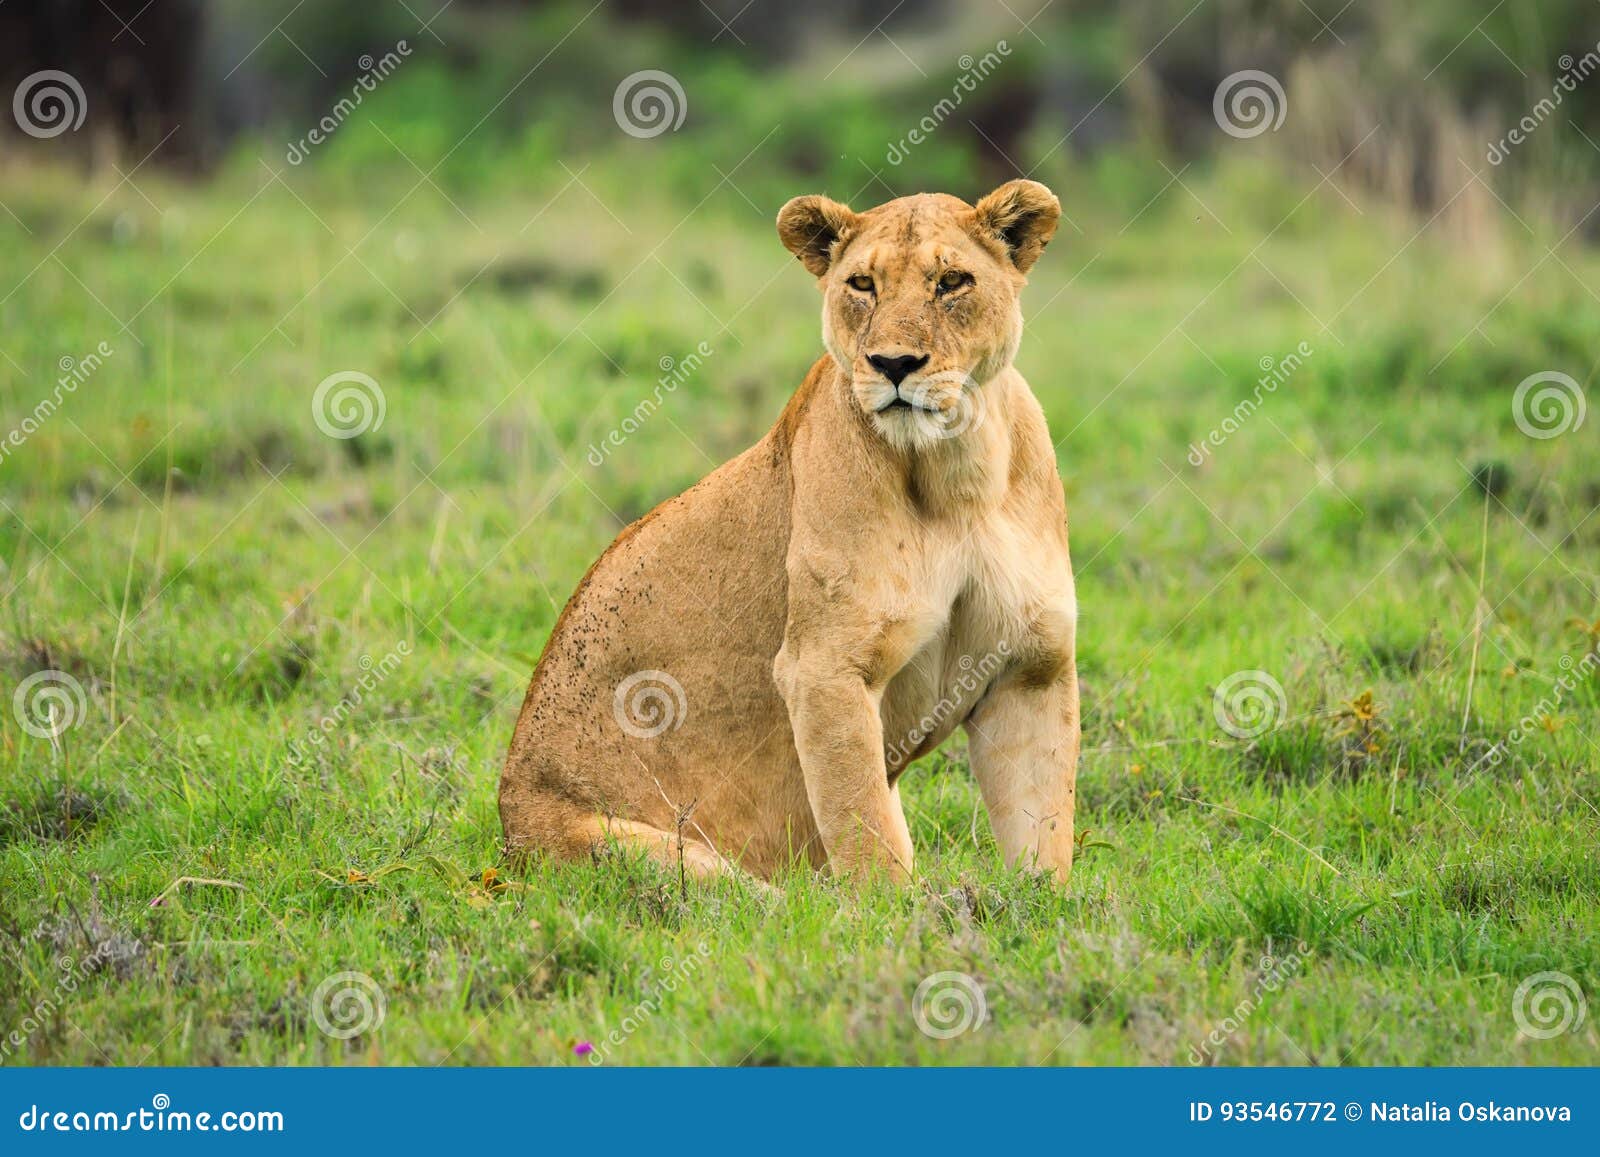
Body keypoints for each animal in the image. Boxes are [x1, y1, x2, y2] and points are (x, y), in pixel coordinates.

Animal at [500, 180, 1078, 885]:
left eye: (952, 282)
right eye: (862, 284)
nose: (893, 364)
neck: (957, 473)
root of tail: (506, 831)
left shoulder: (1032, 669)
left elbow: (1045, 835)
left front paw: (1043, 906)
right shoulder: (823, 670)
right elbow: (868, 837)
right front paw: (901, 914)